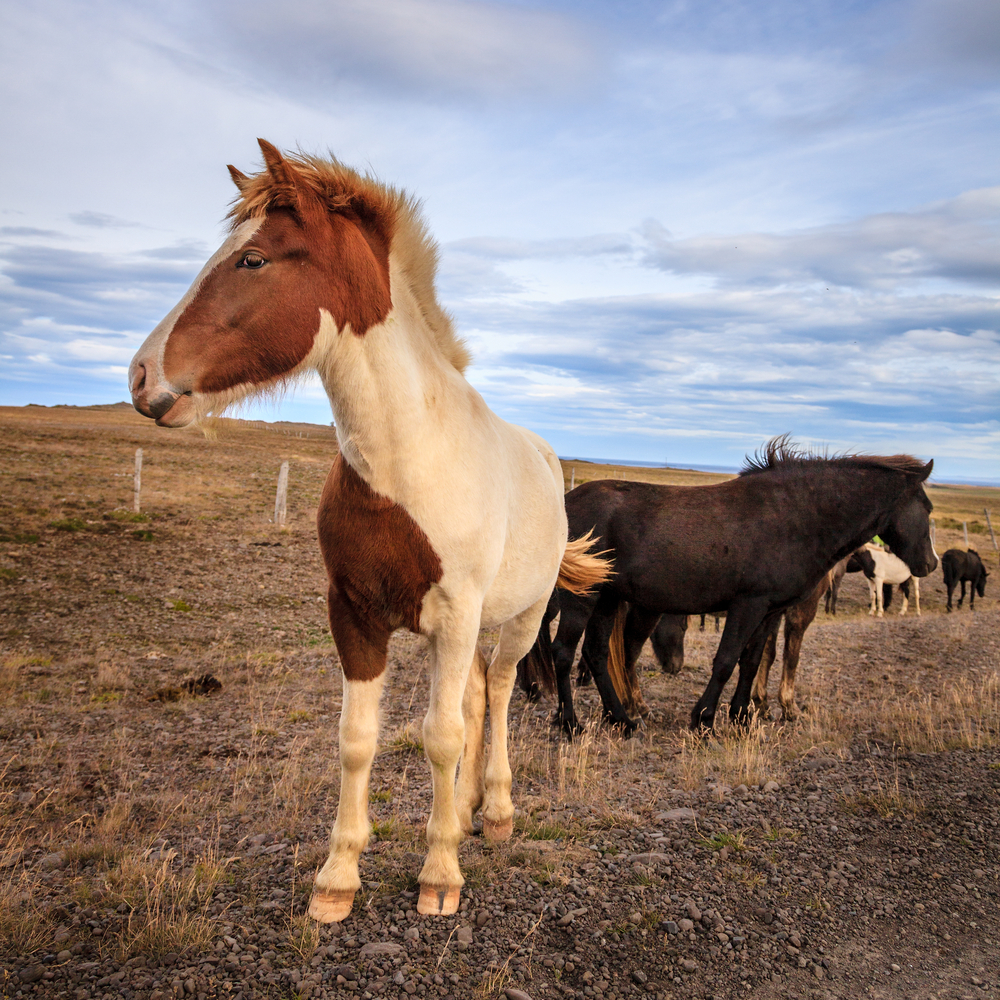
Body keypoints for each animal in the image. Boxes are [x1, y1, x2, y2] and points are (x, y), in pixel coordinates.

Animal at [127, 140, 610, 921]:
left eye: (254, 258)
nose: (142, 377)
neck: (409, 462)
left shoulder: (457, 615)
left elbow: (439, 737)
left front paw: (439, 874)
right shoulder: (353, 614)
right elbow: (358, 739)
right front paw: (337, 878)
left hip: (519, 619)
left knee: (502, 692)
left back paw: (496, 812)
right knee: (476, 696)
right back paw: (466, 811)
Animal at [519, 437, 938, 732]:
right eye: (927, 508)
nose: (931, 563)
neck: (793, 516)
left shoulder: (769, 610)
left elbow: (752, 661)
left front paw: (741, 716)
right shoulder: (747, 604)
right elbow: (725, 660)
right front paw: (704, 719)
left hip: (607, 599)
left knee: (597, 654)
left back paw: (621, 719)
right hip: (582, 598)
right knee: (563, 652)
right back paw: (570, 723)